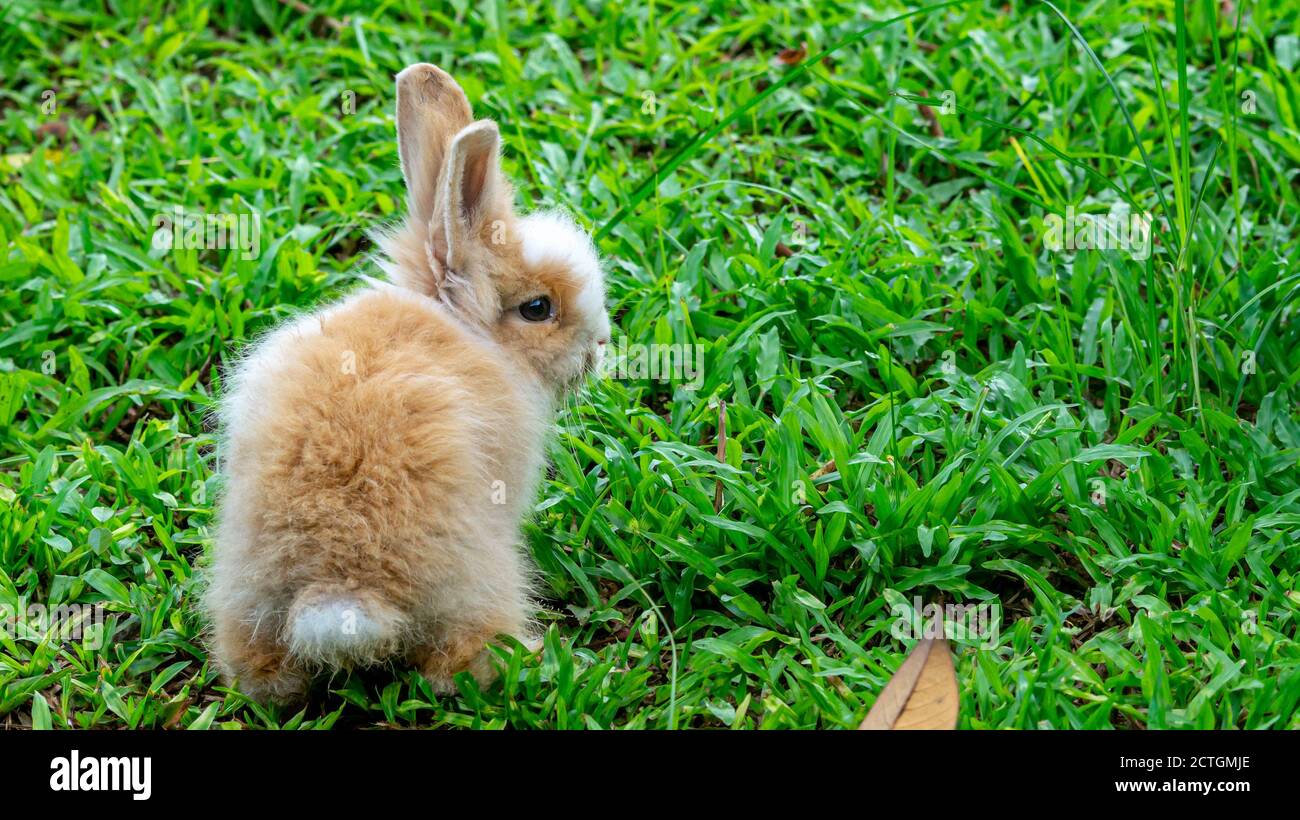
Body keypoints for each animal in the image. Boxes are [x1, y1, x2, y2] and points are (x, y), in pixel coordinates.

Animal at [204, 63, 611, 703]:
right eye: (538, 308)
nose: (601, 345)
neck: (463, 326)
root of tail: (343, 590)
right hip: (480, 586)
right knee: (455, 666)